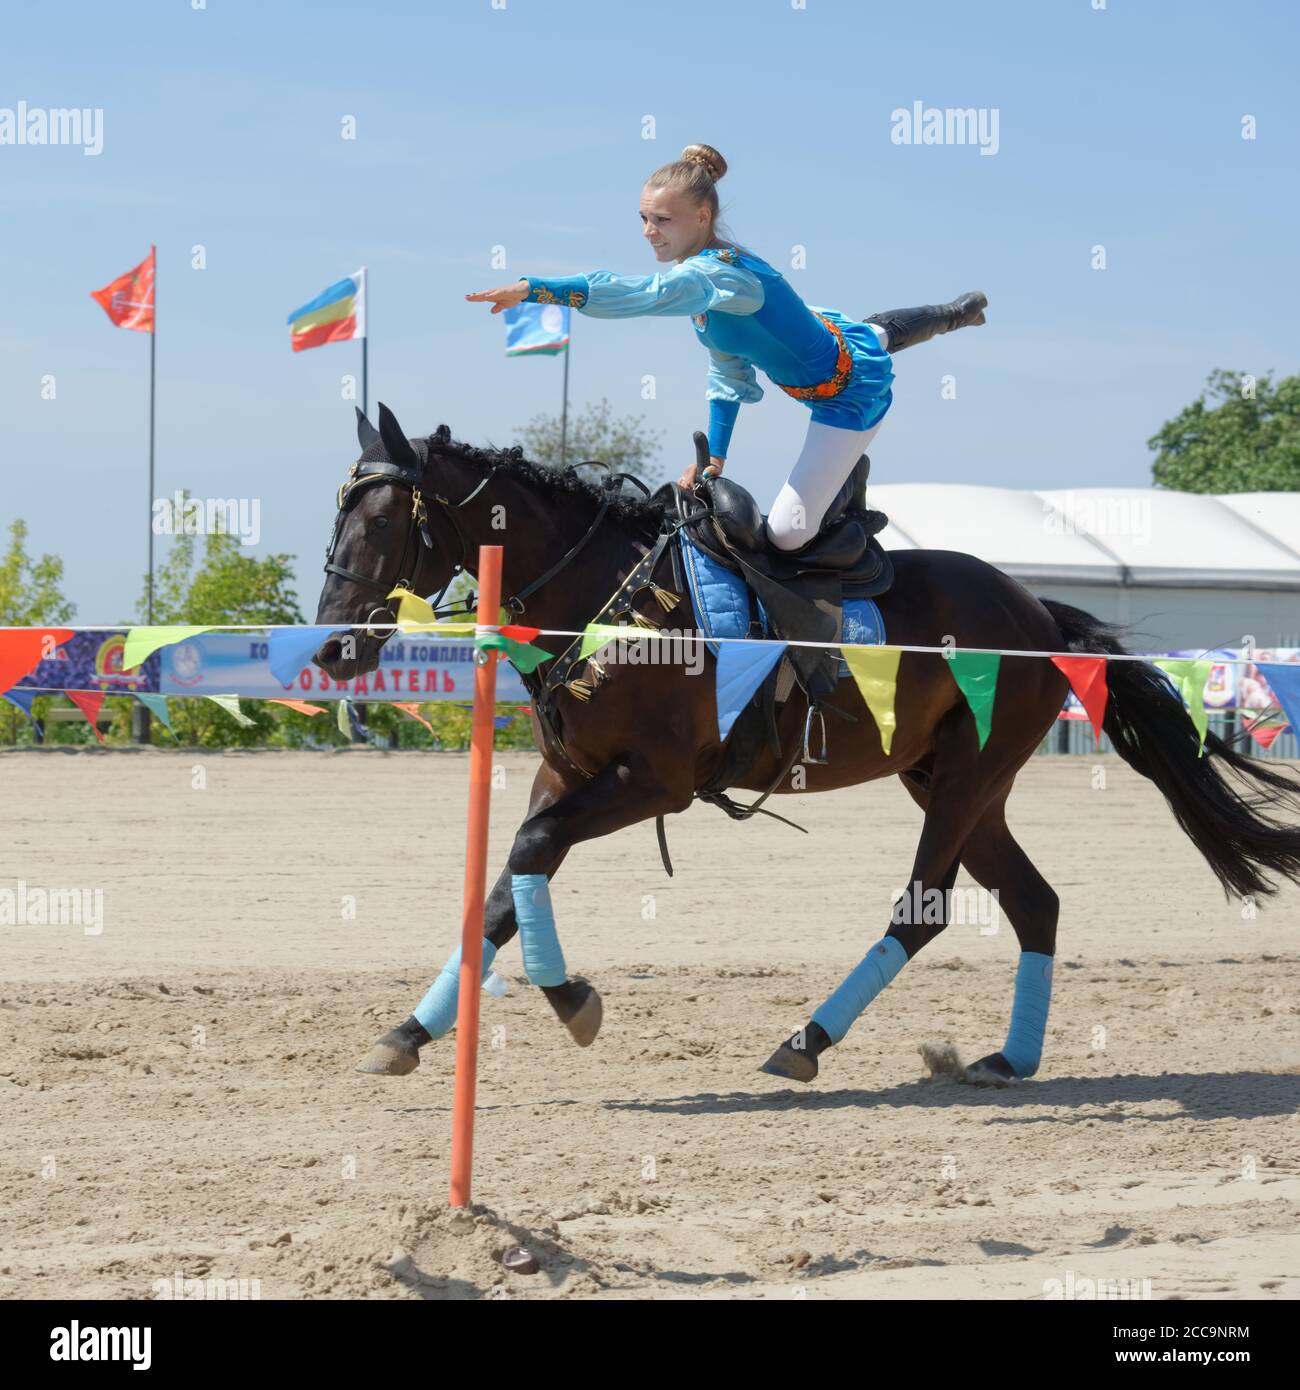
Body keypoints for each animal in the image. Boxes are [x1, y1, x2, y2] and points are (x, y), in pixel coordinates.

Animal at [313, 402, 1300, 1086]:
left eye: (384, 521)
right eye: (337, 517)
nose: (329, 647)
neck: (610, 599)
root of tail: (1041, 614)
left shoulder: (653, 782)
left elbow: (527, 857)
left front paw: (573, 1001)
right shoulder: (567, 773)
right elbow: (505, 890)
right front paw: (408, 1033)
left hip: (967, 778)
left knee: (923, 907)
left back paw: (806, 1039)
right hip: (951, 781)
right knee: (1035, 903)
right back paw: (1007, 1058)